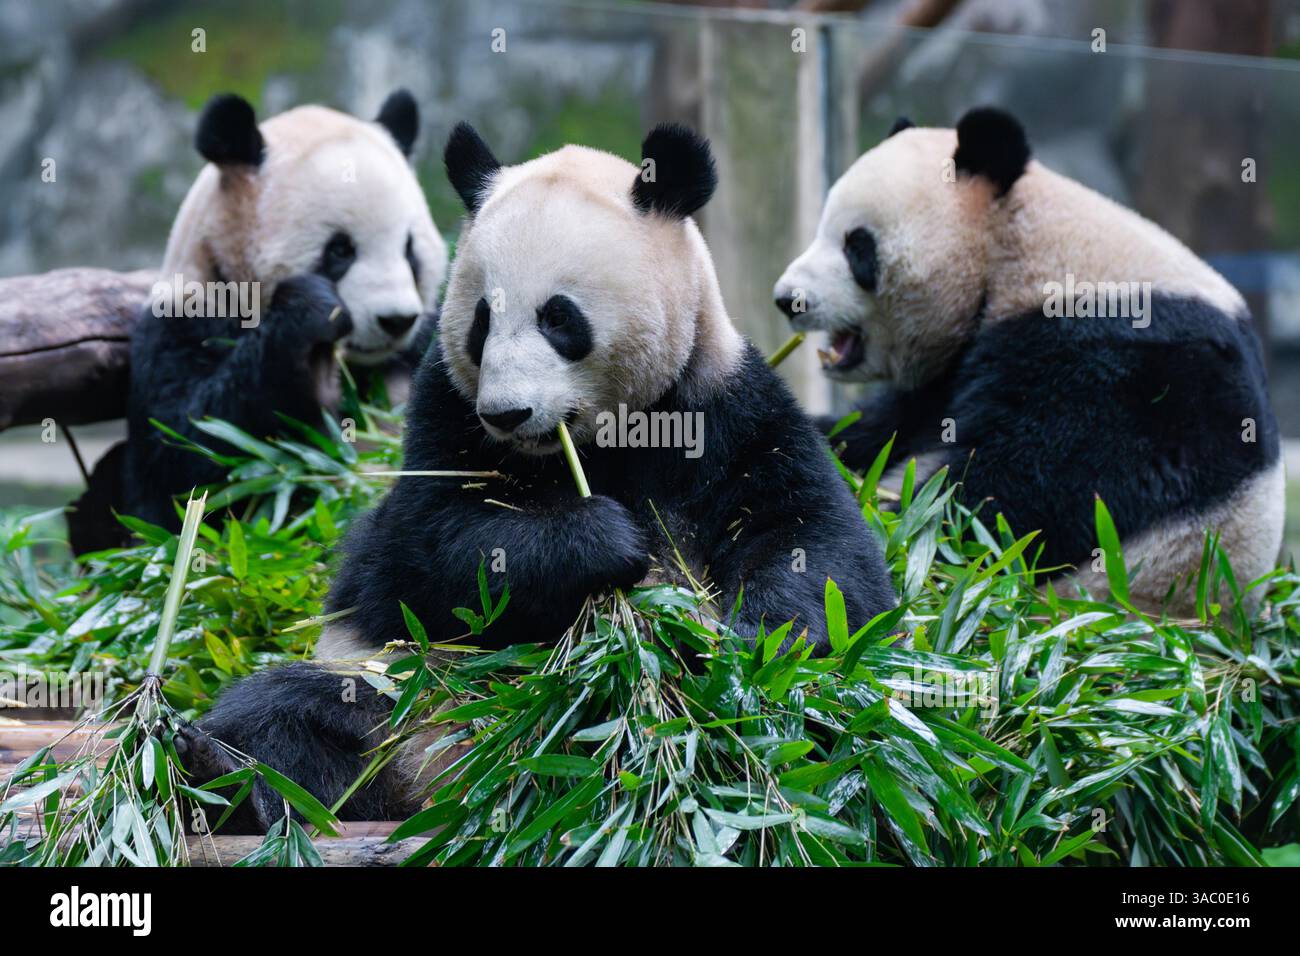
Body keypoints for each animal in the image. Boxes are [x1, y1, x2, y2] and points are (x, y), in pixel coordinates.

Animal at [67, 90, 447, 552]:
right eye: (340, 249)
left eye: (410, 250)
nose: (395, 320)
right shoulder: (180, 325)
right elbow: (188, 463)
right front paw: (312, 325)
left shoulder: (424, 348)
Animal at [180, 122, 897, 831]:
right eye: (481, 320)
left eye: (559, 317)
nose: (507, 413)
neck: (589, 442)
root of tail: (443, 789)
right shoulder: (446, 411)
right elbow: (437, 546)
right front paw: (607, 541)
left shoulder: (723, 404)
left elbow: (815, 541)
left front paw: (745, 644)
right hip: (401, 687)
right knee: (296, 716)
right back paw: (224, 774)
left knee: (846, 737)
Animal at [773, 107, 1284, 613]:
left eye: (856, 245)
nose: (787, 299)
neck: (1018, 244)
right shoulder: (951, 370)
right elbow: (883, 427)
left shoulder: (1129, 361)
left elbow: (1019, 491)